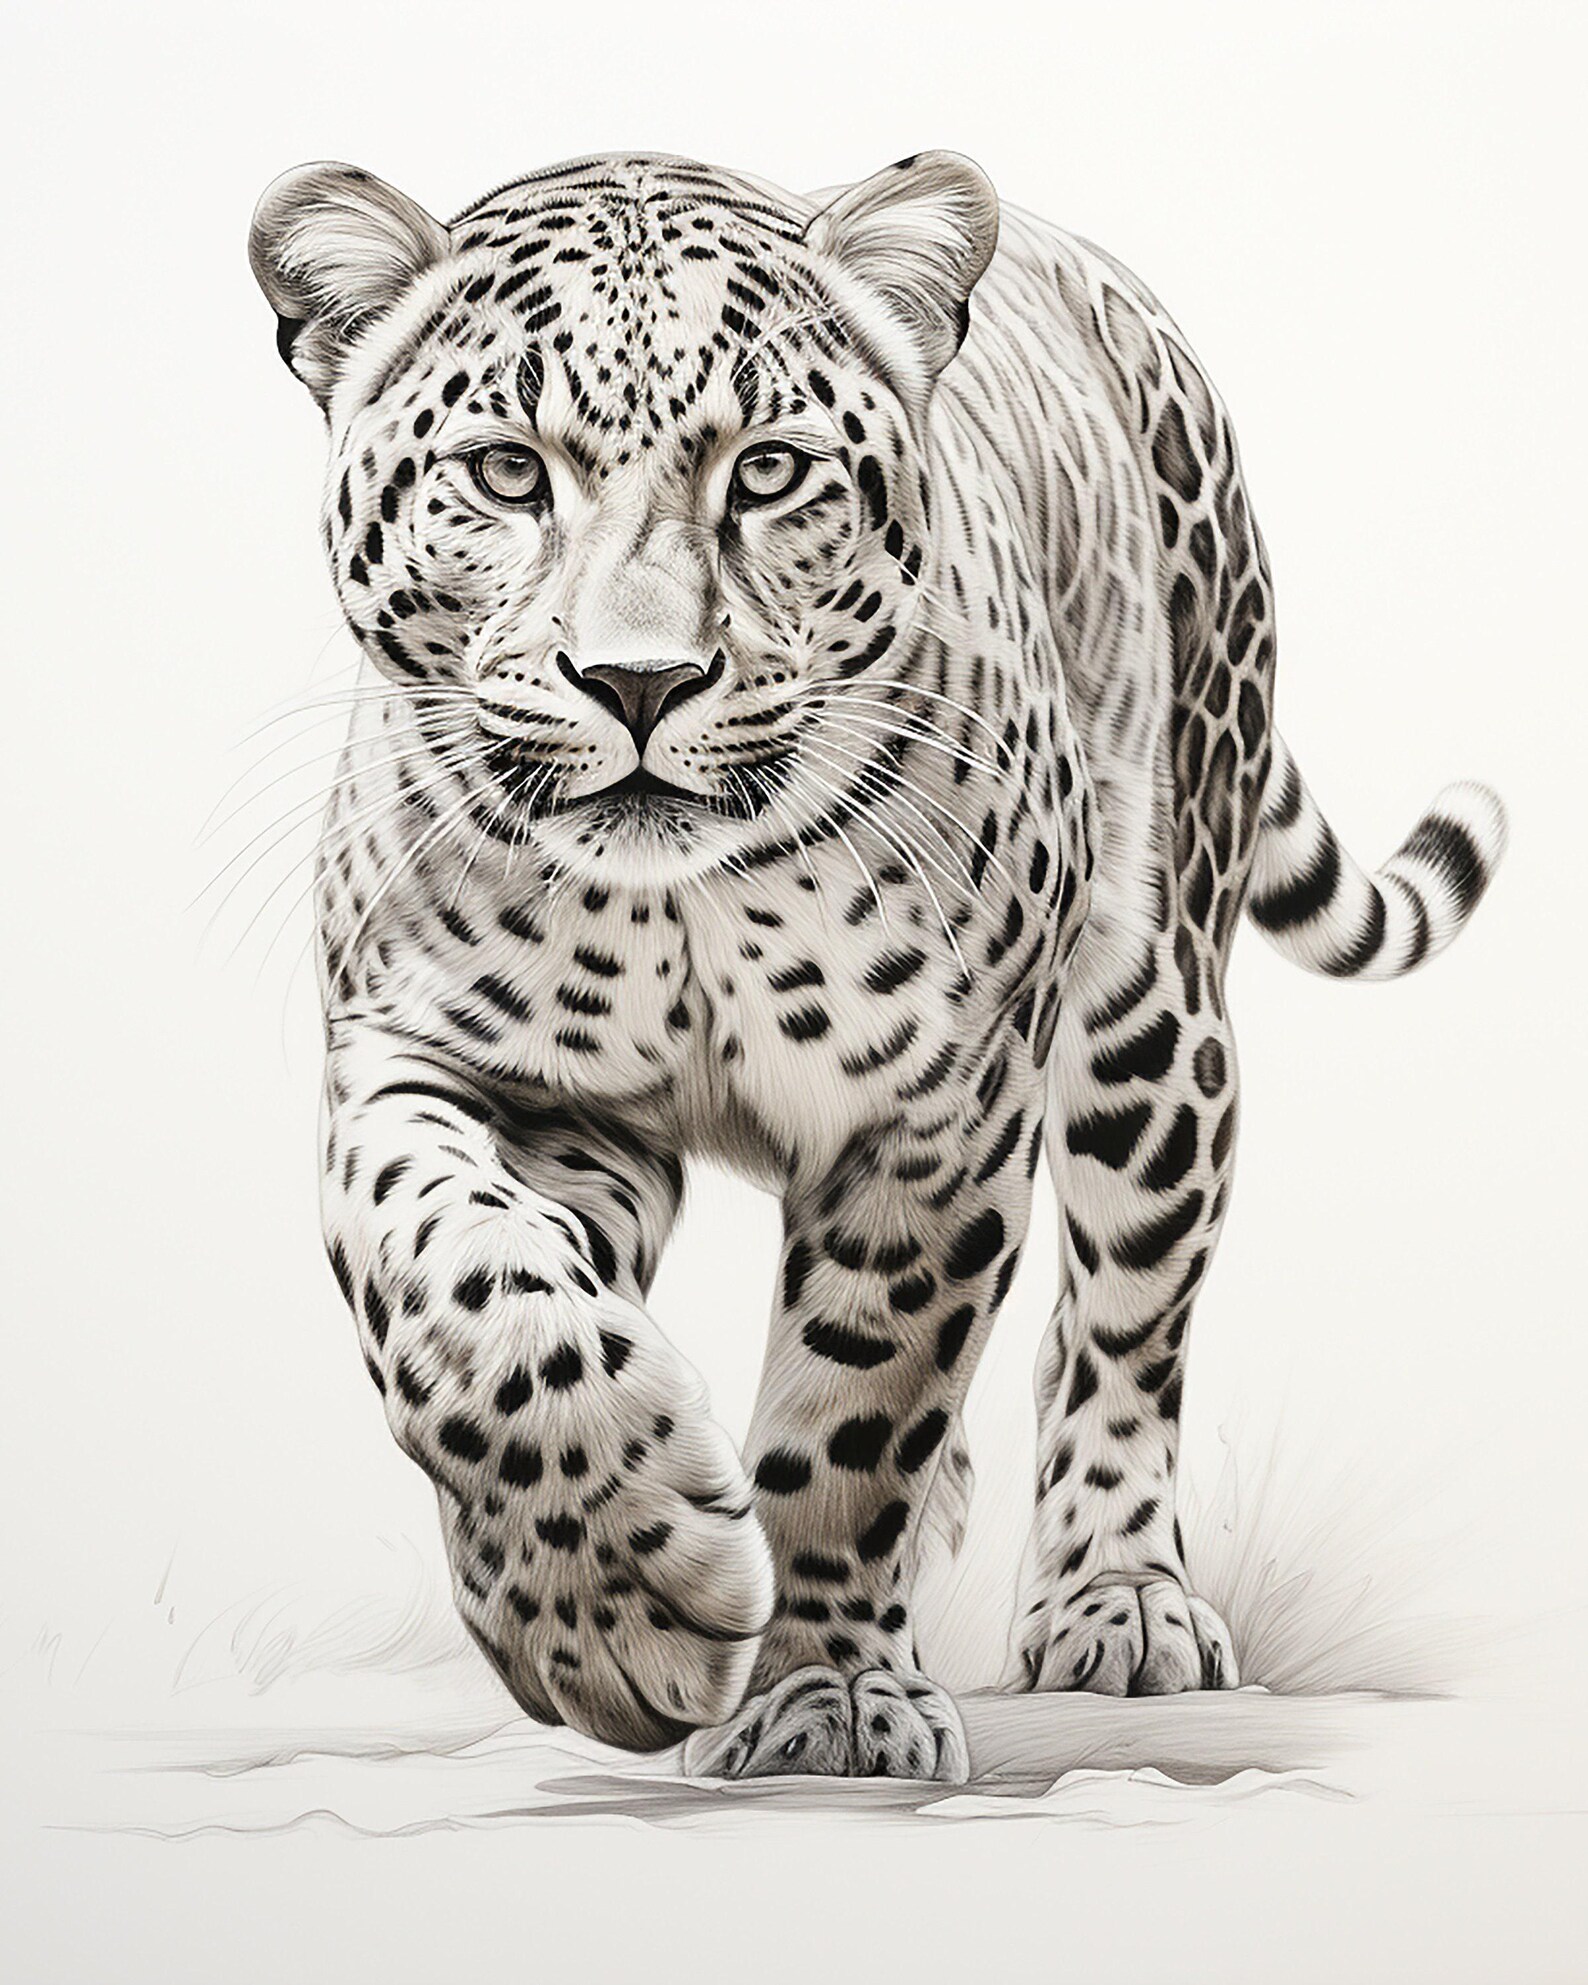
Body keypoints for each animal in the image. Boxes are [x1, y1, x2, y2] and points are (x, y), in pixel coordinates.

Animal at [248, 149, 1506, 1783]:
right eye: (510, 473)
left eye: (769, 473)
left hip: (1157, 1026)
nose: (640, 683)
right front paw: (601, 1607)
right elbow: (465, 1287)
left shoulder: (944, 1106)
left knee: (1120, 1328)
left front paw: (822, 1695)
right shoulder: (448, 1066)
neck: (681, 910)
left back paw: (1119, 1601)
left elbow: (862, 1398)